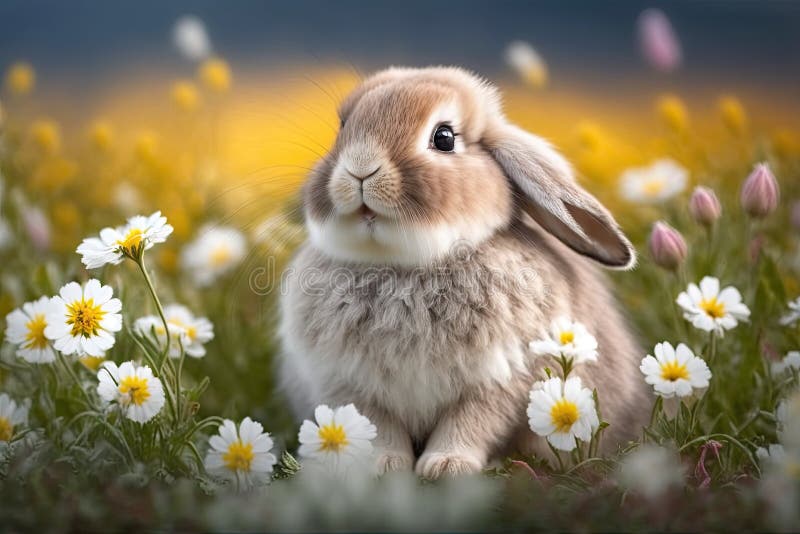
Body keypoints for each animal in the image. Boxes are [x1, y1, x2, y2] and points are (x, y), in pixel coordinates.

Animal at [278, 66, 650, 479]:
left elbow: (470, 423)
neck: (405, 264)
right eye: (343, 127)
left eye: (444, 138)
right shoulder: (350, 386)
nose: (360, 169)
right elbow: (378, 429)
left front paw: (446, 466)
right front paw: (383, 466)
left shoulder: (499, 381)